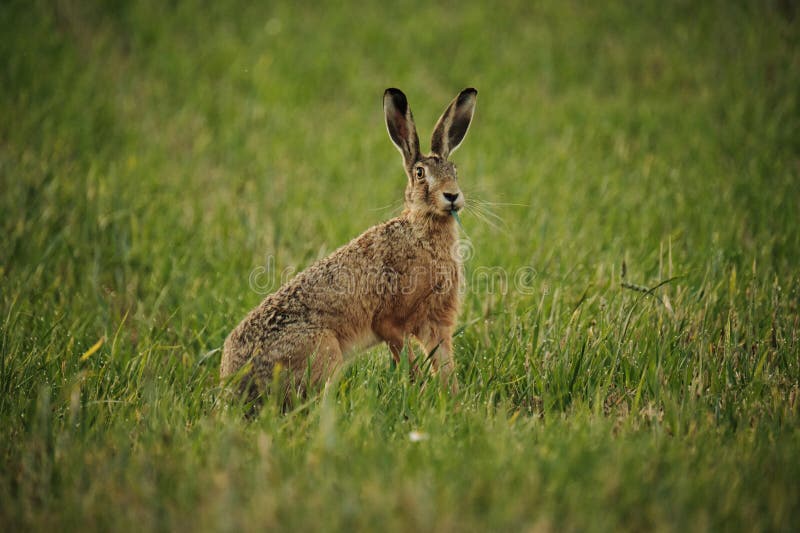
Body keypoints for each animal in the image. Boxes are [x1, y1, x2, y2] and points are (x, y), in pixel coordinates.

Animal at [221, 87, 478, 402]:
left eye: (454, 170)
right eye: (420, 174)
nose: (452, 195)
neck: (422, 230)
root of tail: (232, 383)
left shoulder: (437, 322)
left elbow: (444, 364)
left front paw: (452, 399)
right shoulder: (390, 321)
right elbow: (408, 361)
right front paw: (420, 393)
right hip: (324, 348)